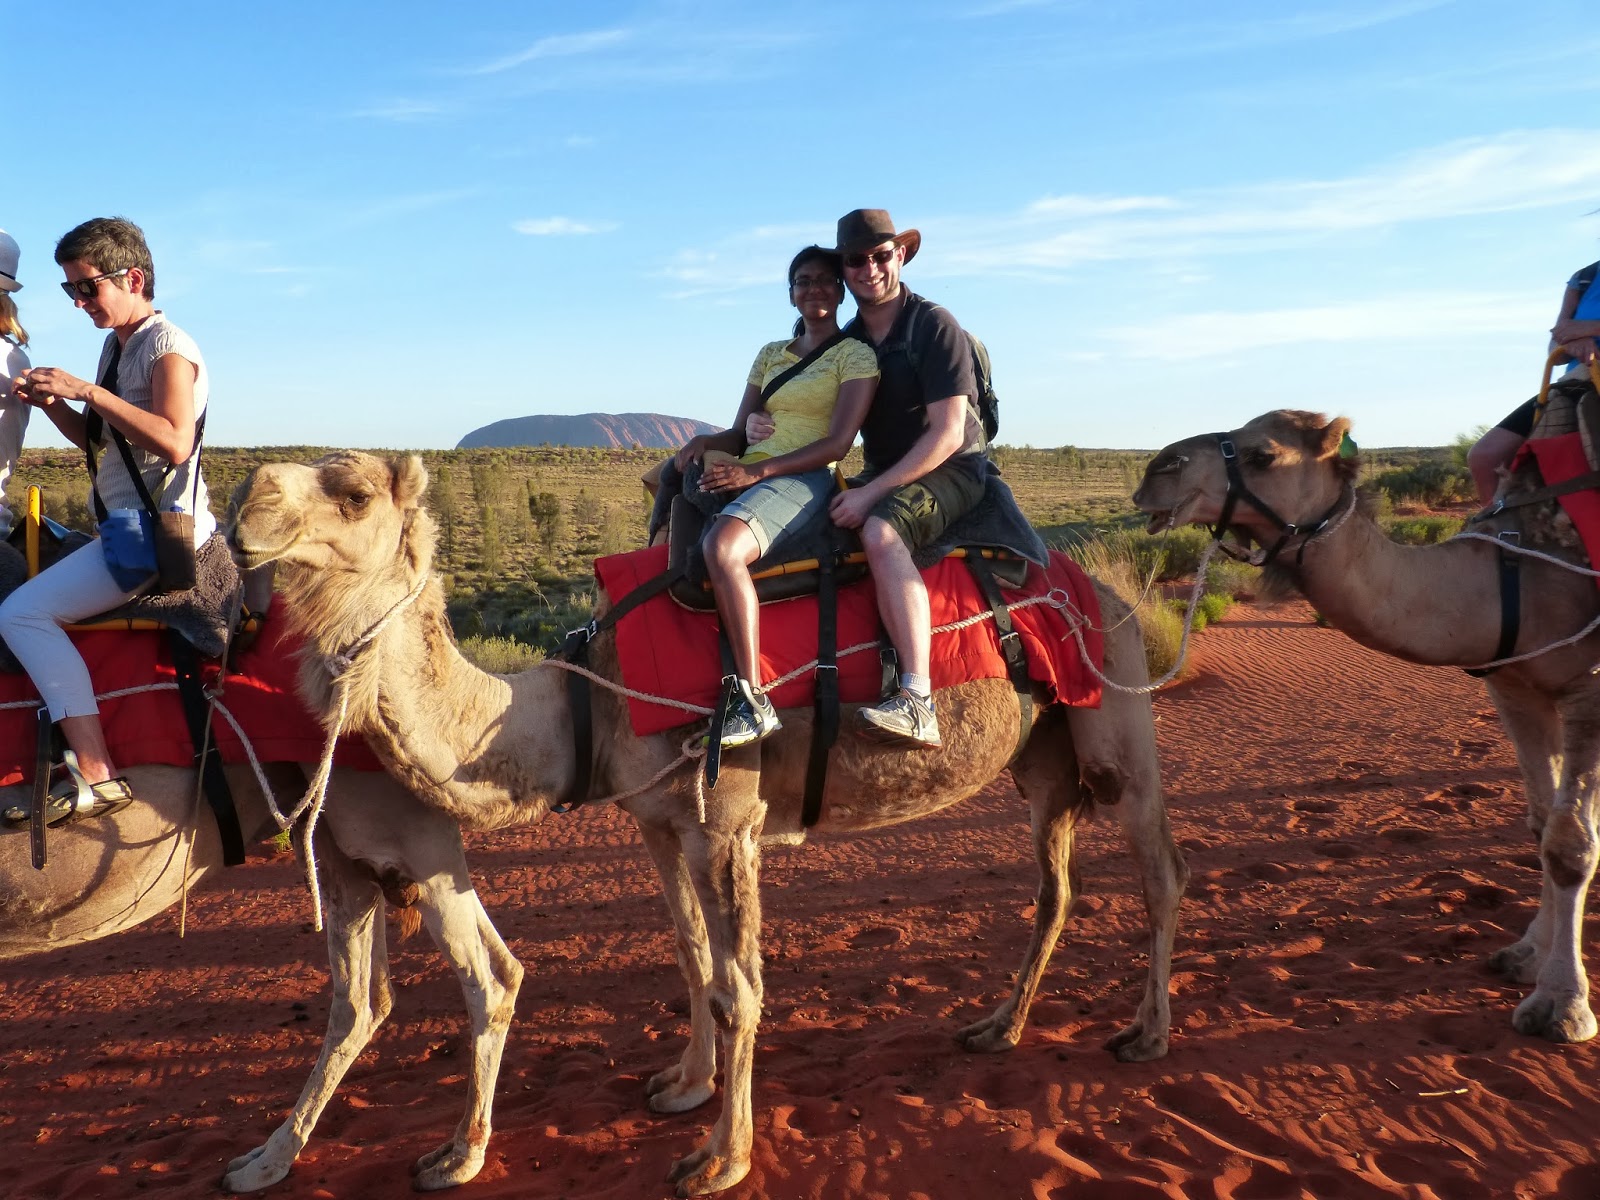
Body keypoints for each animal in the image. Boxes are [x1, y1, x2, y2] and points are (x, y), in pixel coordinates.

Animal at [1, 756, 522, 1192]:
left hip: (399, 827)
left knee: (484, 983)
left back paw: (457, 1159)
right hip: (342, 838)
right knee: (379, 998)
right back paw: (270, 1160)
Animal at [228, 449, 1190, 1197]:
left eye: (353, 493)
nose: (246, 504)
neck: (582, 704)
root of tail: (1100, 582)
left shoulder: (728, 823)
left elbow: (741, 987)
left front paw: (719, 1160)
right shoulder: (659, 823)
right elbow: (693, 957)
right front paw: (685, 1086)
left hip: (1116, 716)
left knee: (1159, 871)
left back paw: (1147, 1036)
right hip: (1042, 759)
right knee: (1055, 884)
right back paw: (1000, 1026)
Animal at [1132, 408, 1600, 1045]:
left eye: (1262, 456)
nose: (1155, 472)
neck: (1518, 578)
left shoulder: (1588, 687)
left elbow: (1570, 844)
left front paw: (1562, 1005)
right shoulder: (1514, 685)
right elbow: (1540, 826)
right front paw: (1527, 954)